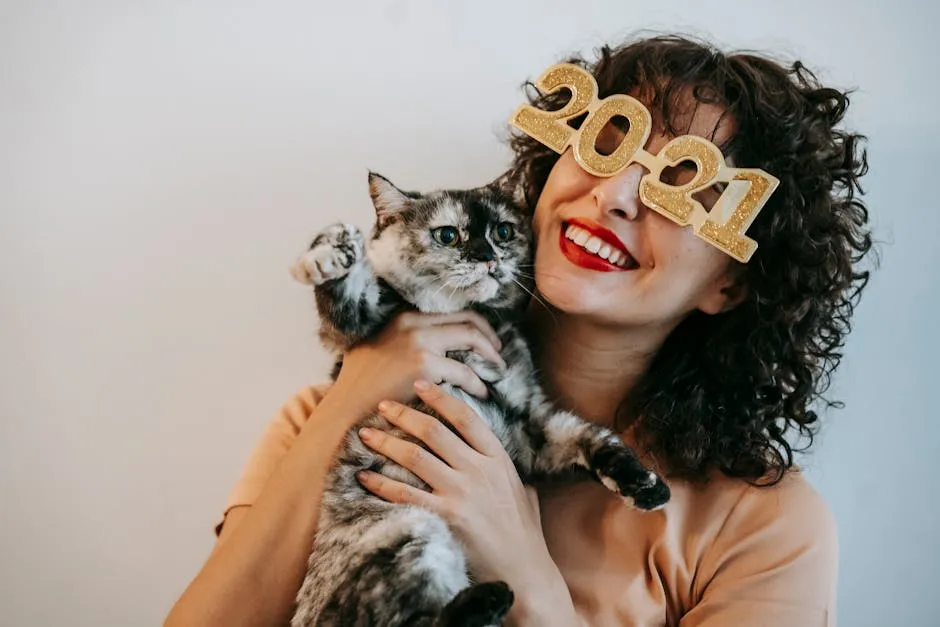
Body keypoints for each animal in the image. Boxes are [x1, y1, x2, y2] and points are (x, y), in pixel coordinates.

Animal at [286, 172, 668, 627]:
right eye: (448, 235)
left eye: (503, 231)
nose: (487, 257)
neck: (484, 321)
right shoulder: (357, 325)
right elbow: (344, 290)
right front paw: (331, 253)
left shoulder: (533, 430)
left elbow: (594, 438)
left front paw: (646, 486)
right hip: (409, 532)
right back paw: (489, 599)